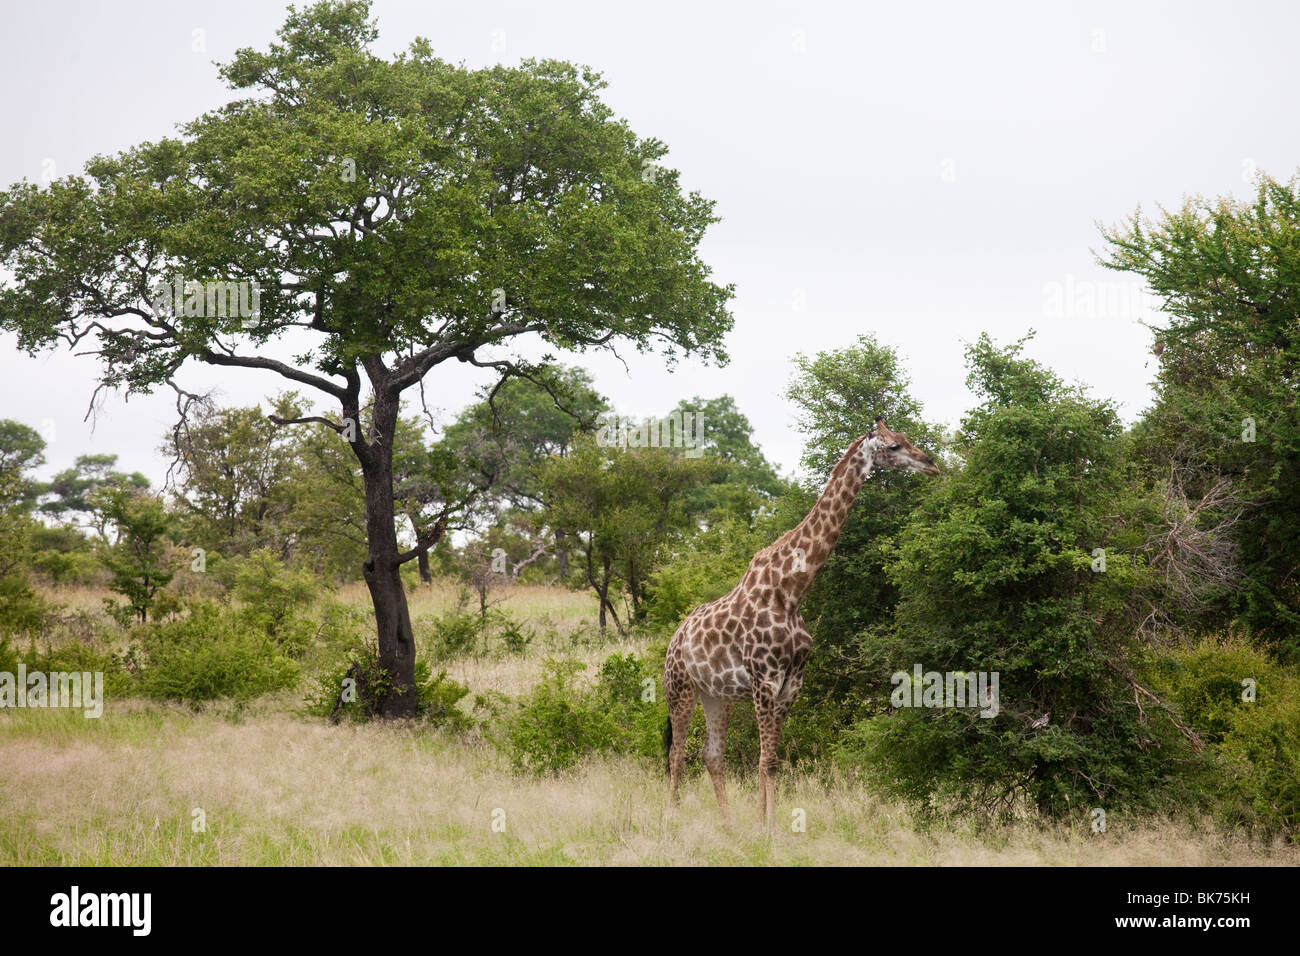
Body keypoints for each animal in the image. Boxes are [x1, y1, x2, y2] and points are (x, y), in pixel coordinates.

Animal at [663, 417, 939, 827]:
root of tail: (674, 638)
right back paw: (673, 820)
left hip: (716, 695)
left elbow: (772, 760)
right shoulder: (765, 680)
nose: (932, 464)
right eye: (893, 446)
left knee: (712, 756)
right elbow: (765, 760)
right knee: (677, 754)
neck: (791, 591)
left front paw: (763, 824)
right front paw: (768, 828)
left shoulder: (791, 683)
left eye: (906, 439)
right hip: (679, 688)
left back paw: (728, 826)